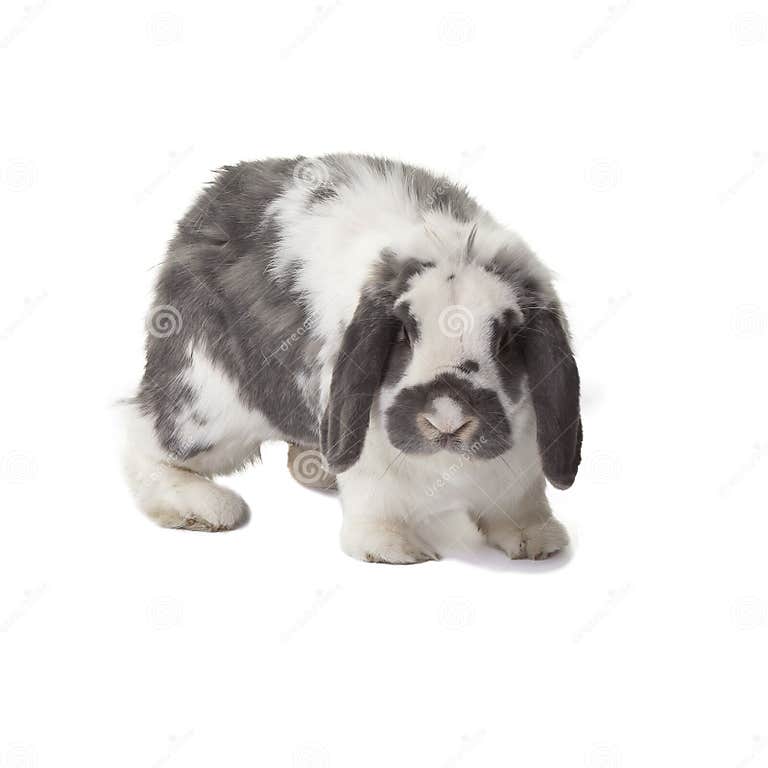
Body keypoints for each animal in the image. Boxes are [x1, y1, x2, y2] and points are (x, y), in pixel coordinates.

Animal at [120, 154, 582, 563]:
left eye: (506, 340)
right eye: (404, 331)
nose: (446, 420)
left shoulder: (519, 469)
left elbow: (518, 506)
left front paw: (535, 539)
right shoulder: (372, 464)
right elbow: (377, 505)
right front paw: (393, 549)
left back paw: (317, 466)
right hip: (207, 397)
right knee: (143, 442)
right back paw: (202, 507)